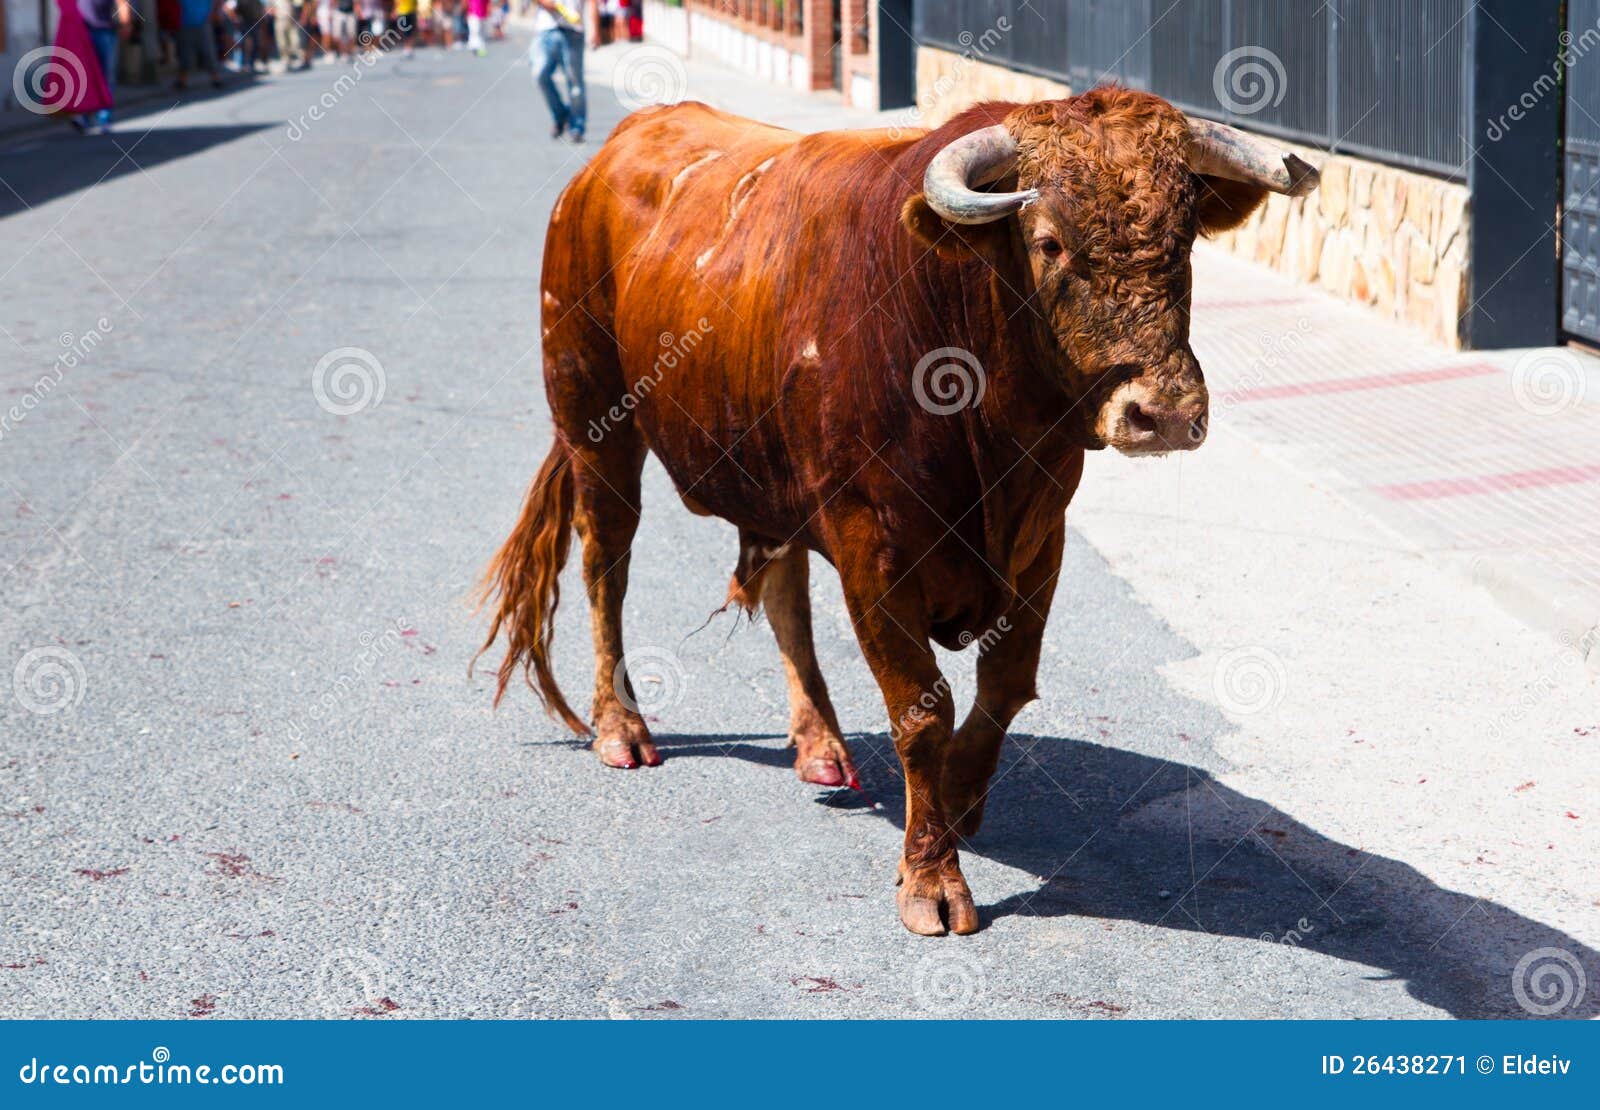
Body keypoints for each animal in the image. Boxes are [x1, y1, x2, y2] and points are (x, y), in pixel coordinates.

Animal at [477, 87, 1318, 936]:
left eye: (1185, 239)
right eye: (1048, 242)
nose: (1166, 413)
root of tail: (628, 137)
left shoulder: (1040, 541)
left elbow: (1004, 685)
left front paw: (959, 801)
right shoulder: (872, 549)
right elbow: (921, 710)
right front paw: (932, 878)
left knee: (782, 592)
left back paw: (819, 743)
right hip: (595, 422)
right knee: (605, 568)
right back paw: (620, 727)